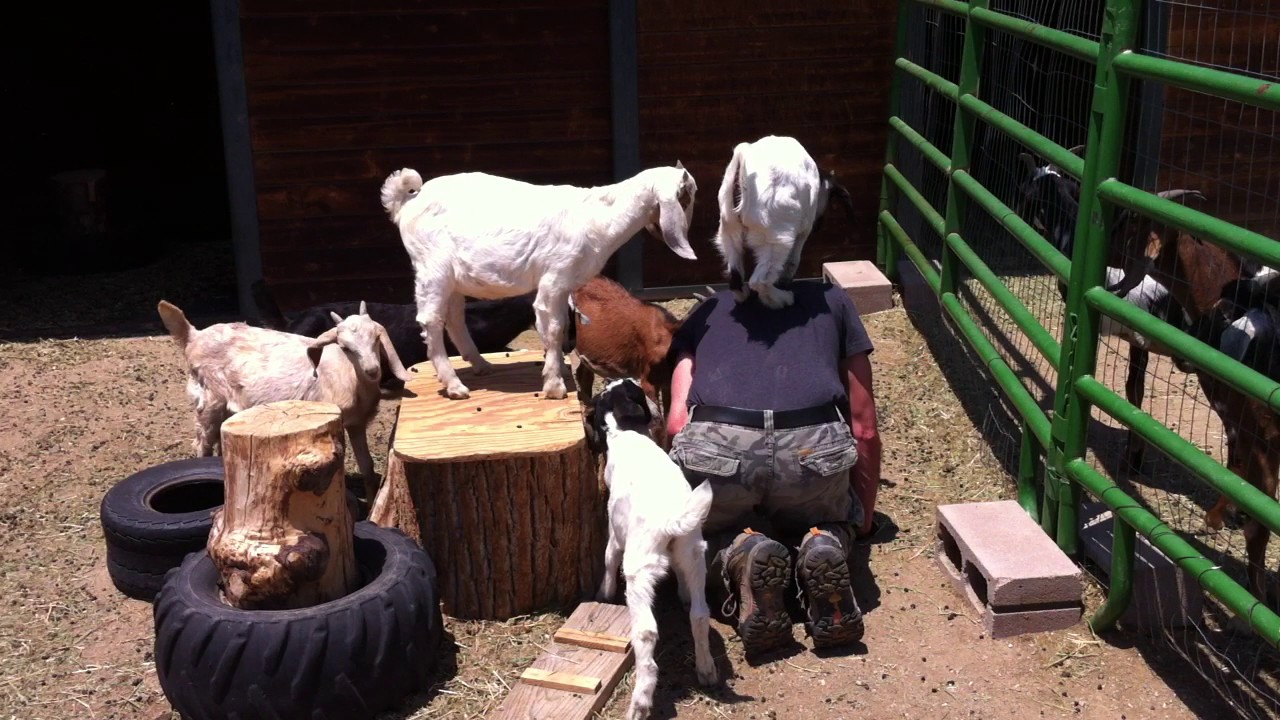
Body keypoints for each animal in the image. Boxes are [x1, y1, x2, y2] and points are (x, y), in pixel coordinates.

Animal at [157, 300, 409, 501]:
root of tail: (194, 335)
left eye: (376, 339)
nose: (372, 370)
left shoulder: (357, 423)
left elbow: (367, 466)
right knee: (202, 444)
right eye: (345, 347)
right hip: (209, 399)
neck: (347, 373)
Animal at [381, 165, 697, 401]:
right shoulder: (555, 277)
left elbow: (564, 325)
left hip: (453, 278)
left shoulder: (567, 285)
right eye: (687, 195)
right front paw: (555, 386)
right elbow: (554, 329)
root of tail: (407, 201)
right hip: (432, 267)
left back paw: (482, 365)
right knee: (431, 321)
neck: (598, 218)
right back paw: (455, 386)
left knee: (454, 318)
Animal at [591, 378, 718, 720]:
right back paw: (707, 671)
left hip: (638, 570)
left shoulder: (614, 533)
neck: (625, 432)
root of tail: (669, 519)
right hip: (694, 552)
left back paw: (640, 704)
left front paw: (603, 596)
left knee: (647, 632)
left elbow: (607, 560)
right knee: (700, 614)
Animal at [713, 135, 853, 309]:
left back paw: (743, 296)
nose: (818, 226)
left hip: (728, 230)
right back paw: (782, 299)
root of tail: (744, 158)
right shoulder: (803, 230)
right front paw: (785, 282)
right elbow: (793, 260)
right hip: (776, 237)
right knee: (760, 280)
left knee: (734, 276)